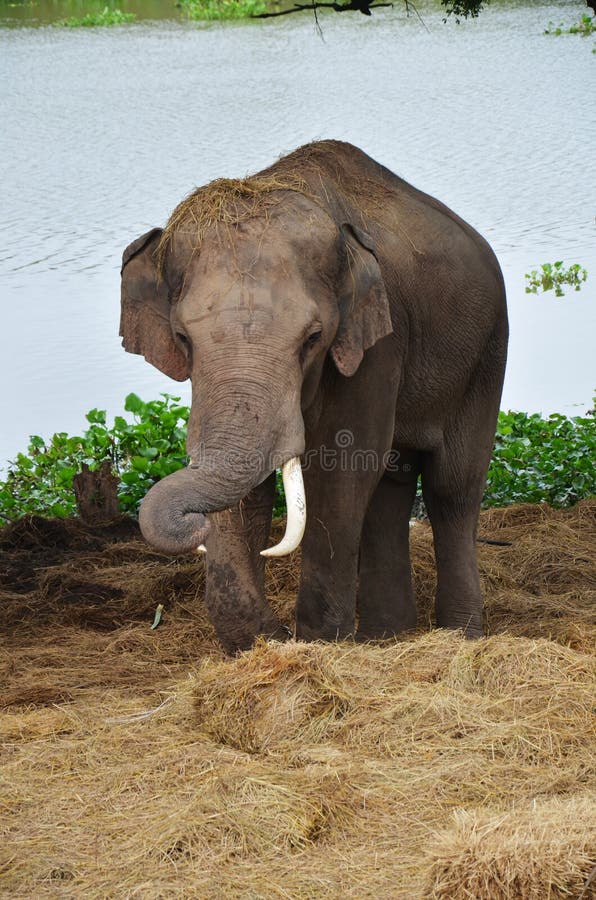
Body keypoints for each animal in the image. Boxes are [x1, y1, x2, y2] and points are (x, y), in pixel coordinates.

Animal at [120, 140, 508, 654]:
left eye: (313, 338)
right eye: (183, 338)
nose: (192, 524)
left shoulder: (378, 343)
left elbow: (343, 469)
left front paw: (322, 644)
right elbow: (252, 491)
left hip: (488, 352)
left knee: (453, 486)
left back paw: (459, 636)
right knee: (392, 483)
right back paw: (388, 637)